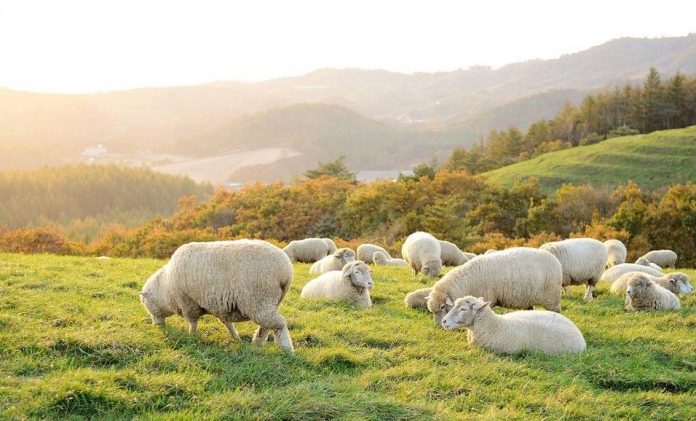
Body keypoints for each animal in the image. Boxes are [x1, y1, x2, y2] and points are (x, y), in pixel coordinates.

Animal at [140, 240, 294, 352]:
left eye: (146, 305)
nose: (156, 325)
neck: (165, 288)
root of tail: (286, 269)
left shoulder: (188, 302)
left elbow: (193, 321)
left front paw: (192, 336)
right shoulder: (220, 307)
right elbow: (227, 324)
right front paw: (236, 338)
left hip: (259, 298)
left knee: (279, 324)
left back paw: (288, 350)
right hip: (270, 301)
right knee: (266, 325)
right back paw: (256, 343)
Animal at [426, 247, 563, 326]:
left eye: (442, 306)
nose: (438, 326)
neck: (465, 283)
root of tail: (555, 260)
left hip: (552, 298)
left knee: (556, 311)